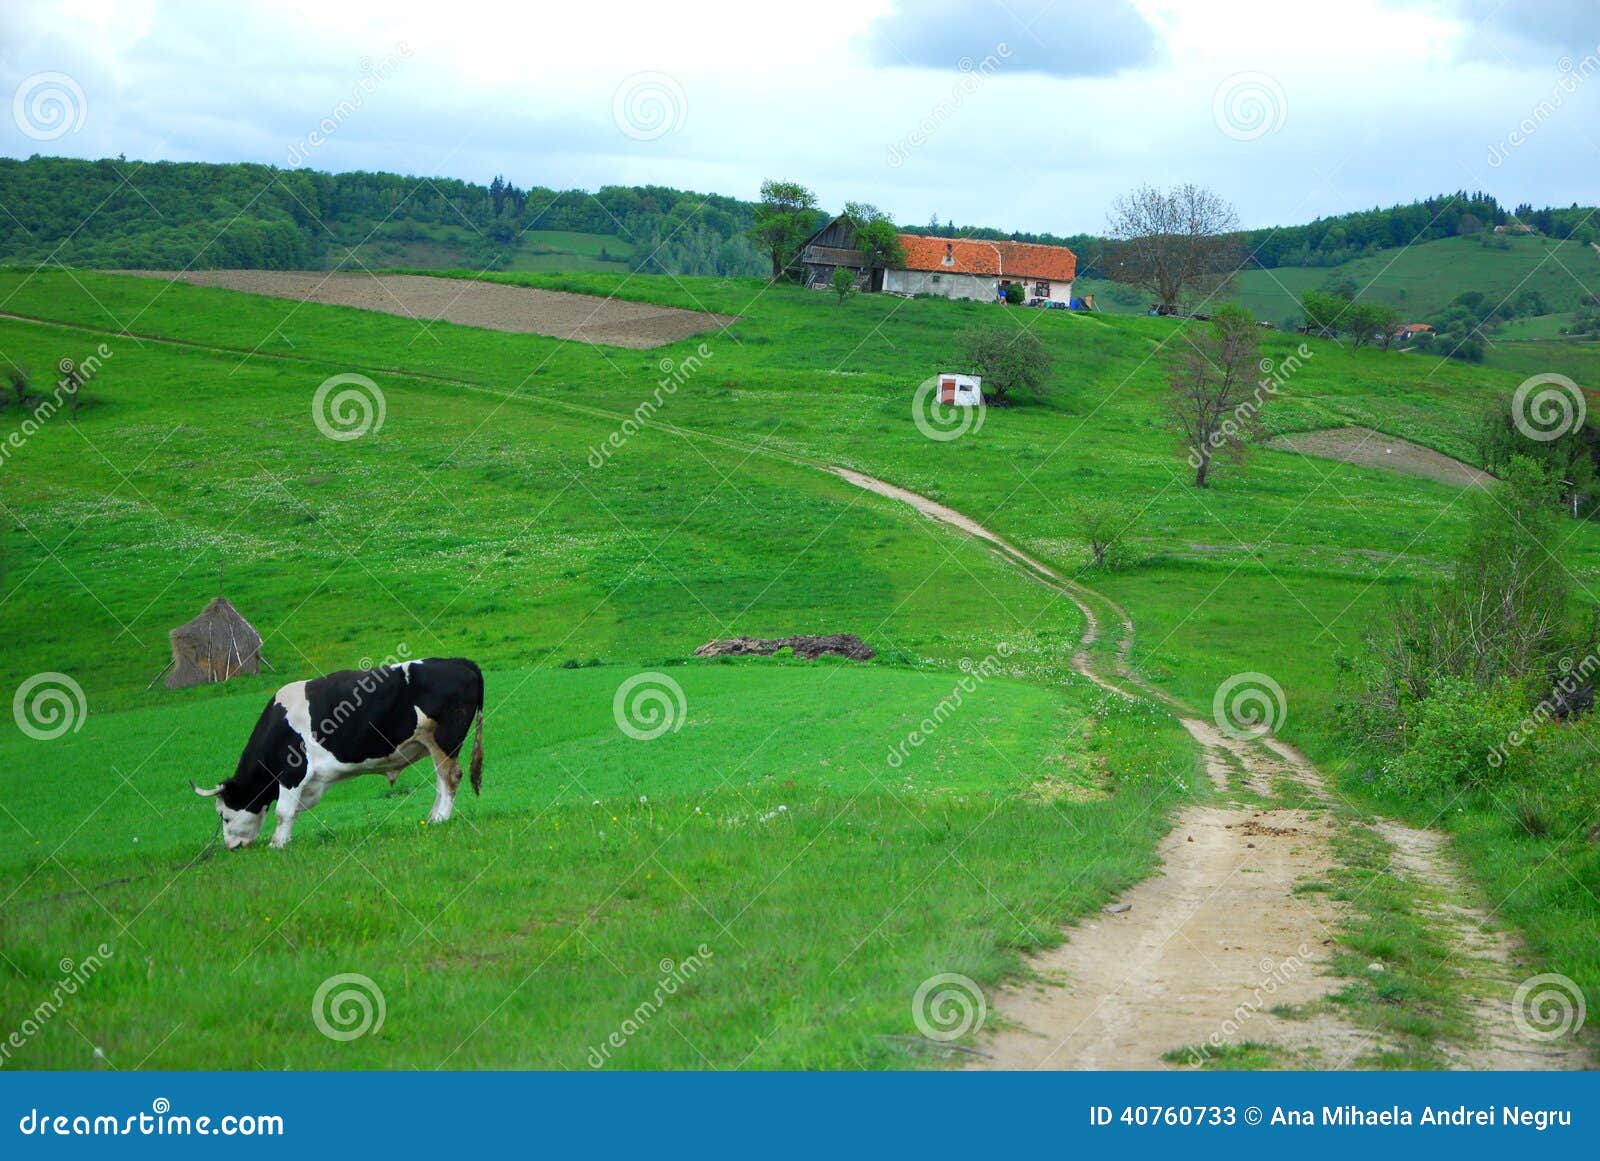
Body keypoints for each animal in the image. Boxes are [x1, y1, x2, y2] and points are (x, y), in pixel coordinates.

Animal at [192, 657, 484, 850]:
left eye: (224, 815)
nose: (231, 846)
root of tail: (458, 662)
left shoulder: (292, 771)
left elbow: (284, 811)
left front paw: (277, 844)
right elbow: (294, 811)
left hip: (445, 740)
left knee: (450, 777)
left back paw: (439, 819)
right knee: (442, 780)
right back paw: (433, 817)